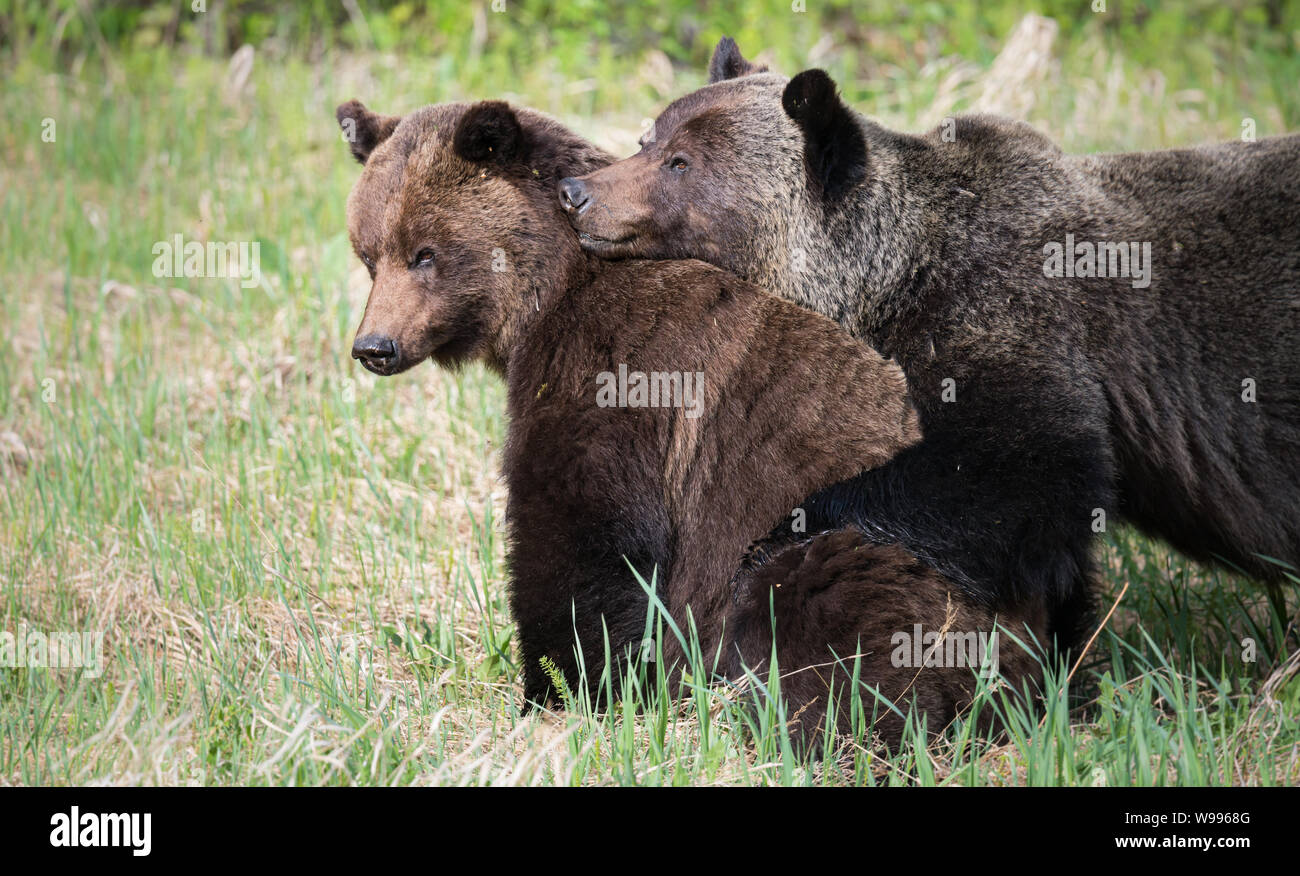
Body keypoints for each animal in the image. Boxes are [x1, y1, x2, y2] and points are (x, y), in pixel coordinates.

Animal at [335, 97, 1045, 746]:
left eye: (425, 253)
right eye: (370, 254)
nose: (374, 346)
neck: (547, 294)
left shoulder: (619, 378)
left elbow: (581, 534)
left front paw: (558, 694)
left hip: (876, 552)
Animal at [559, 36, 1300, 655]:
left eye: (681, 163)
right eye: (648, 137)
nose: (576, 193)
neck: (888, 284)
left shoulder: (1012, 320)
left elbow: (1012, 484)